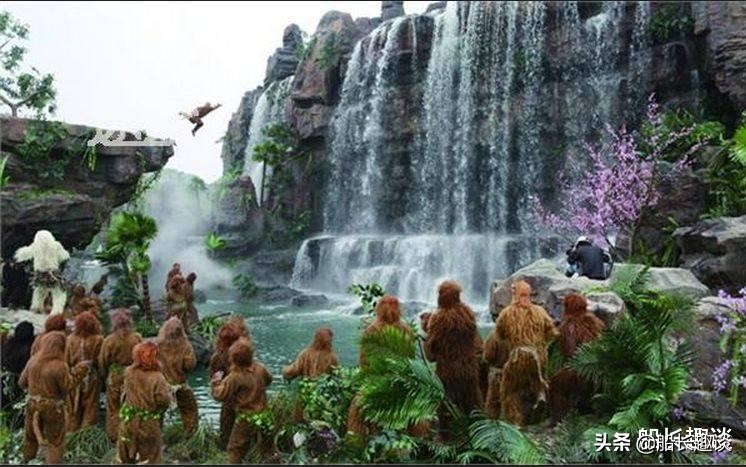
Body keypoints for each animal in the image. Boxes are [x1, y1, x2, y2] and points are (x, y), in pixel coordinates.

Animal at [19, 332, 89, 464]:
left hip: (30, 416)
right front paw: (83, 366)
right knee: (55, 444)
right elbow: (69, 384)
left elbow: (22, 382)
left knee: (30, 440)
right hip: (54, 418)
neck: (47, 355)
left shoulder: (29, 363)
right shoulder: (62, 368)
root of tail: (39, 403)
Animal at [548, 294, 606, 425]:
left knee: (557, 385)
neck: (579, 315)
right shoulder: (597, 320)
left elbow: (570, 355)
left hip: (578, 377)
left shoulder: (566, 325)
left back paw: (558, 417)